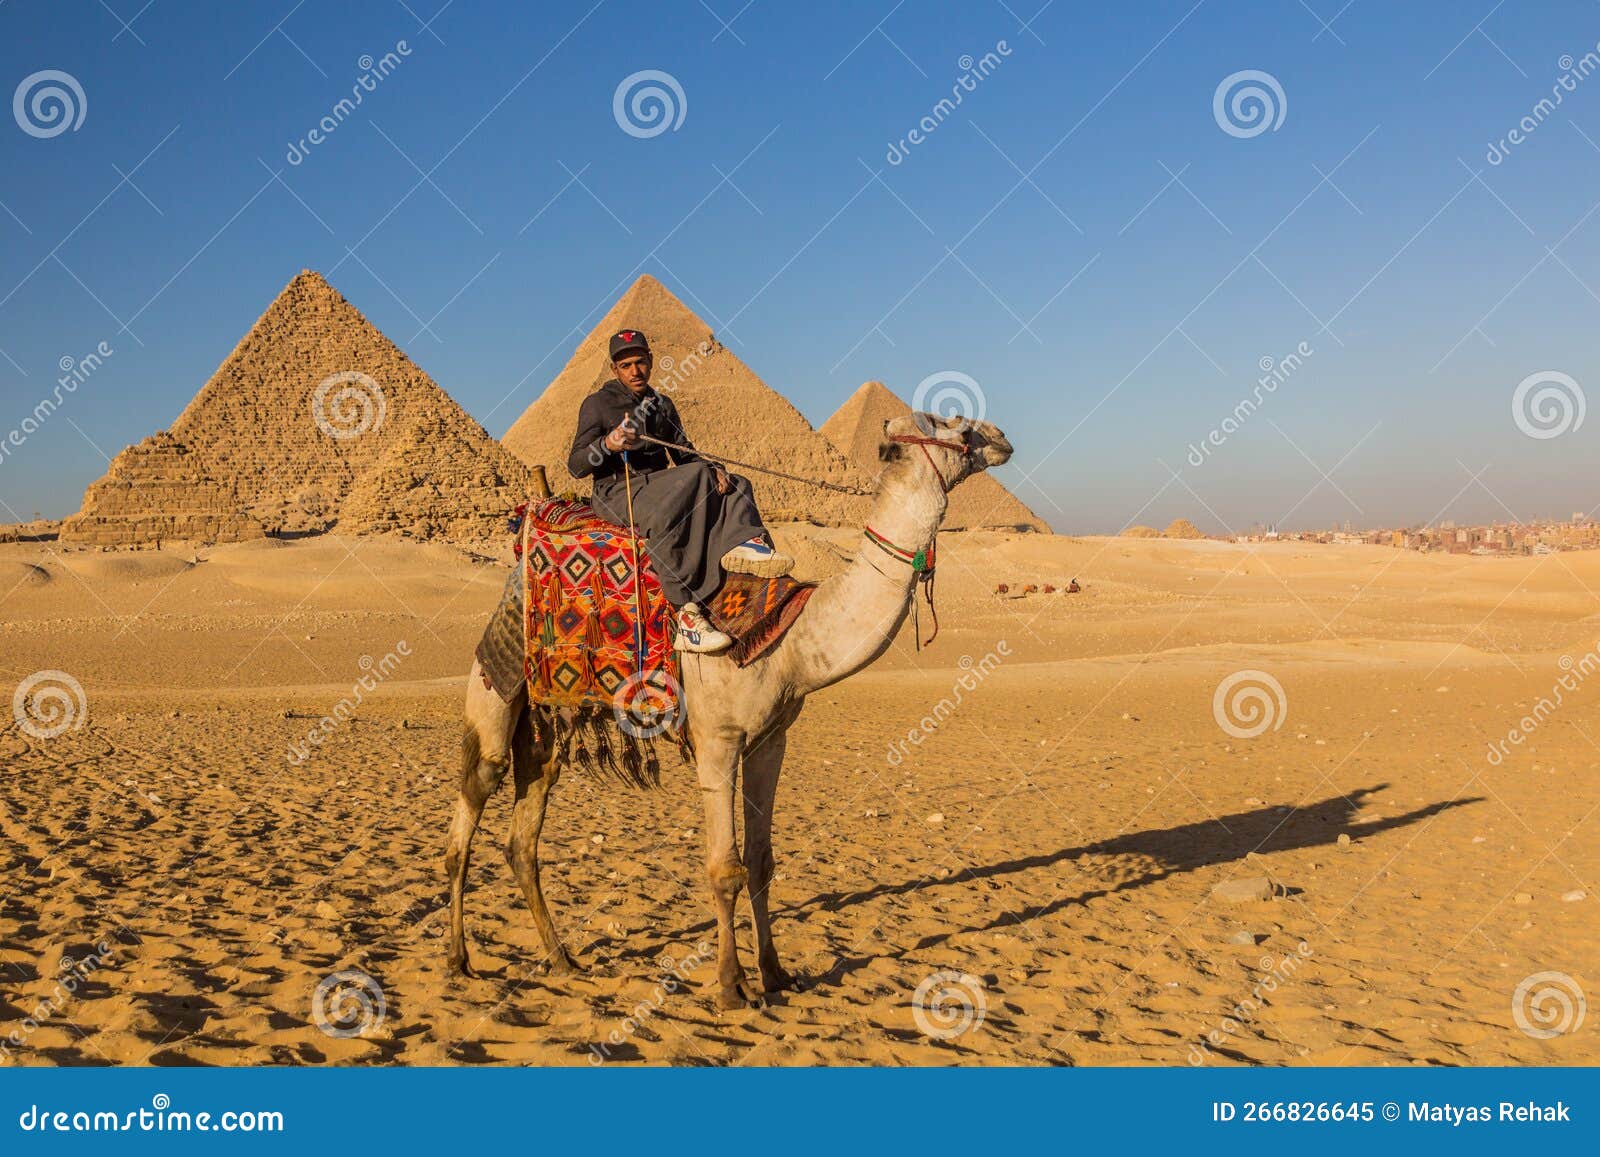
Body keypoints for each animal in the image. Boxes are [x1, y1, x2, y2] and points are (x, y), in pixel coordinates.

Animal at [444, 411, 1014, 1009]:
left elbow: (761, 862)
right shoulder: (716, 738)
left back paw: (561, 959)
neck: (793, 642)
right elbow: (725, 869)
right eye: (949, 423)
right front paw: (732, 984)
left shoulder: (770, 739)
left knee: (523, 836)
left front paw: (776, 973)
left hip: (546, 725)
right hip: (495, 684)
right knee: (471, 811)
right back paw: (459, 961)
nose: (998, 436)